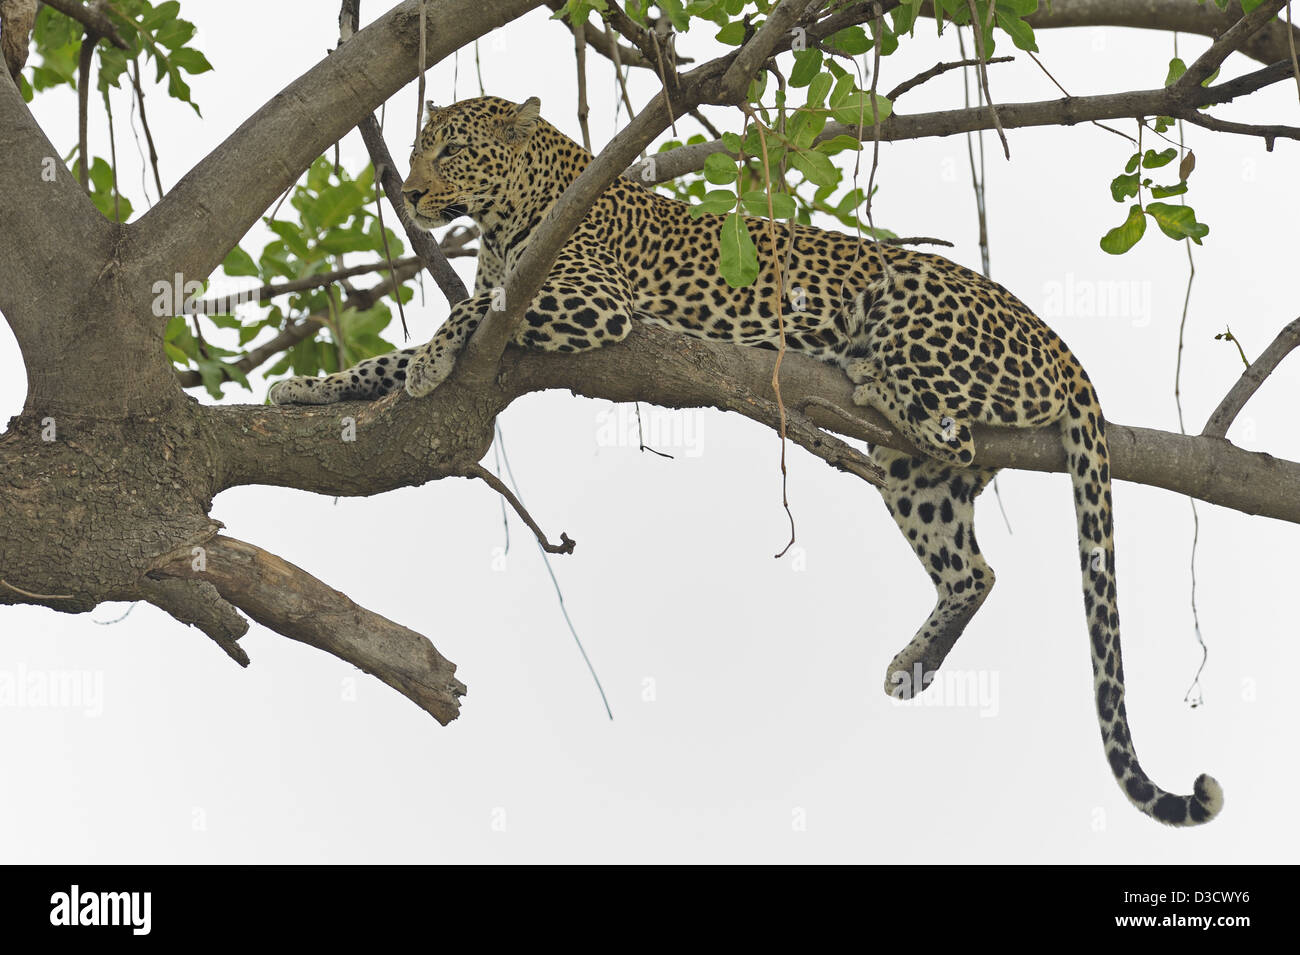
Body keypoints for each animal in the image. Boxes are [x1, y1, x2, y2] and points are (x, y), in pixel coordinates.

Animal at [269, 95, 1223, 826]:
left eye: (451, 149)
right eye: (418, 147)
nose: (410, 188)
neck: (512, 218)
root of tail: (1062, 346)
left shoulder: (594, 303)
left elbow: (469, 312)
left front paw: (430, 362)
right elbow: (388, 355)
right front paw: (313, 386)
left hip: (915, 308)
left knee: (946, 422)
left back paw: (868, 372)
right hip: (915, 479)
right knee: (974, 569)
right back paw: (912, 665)